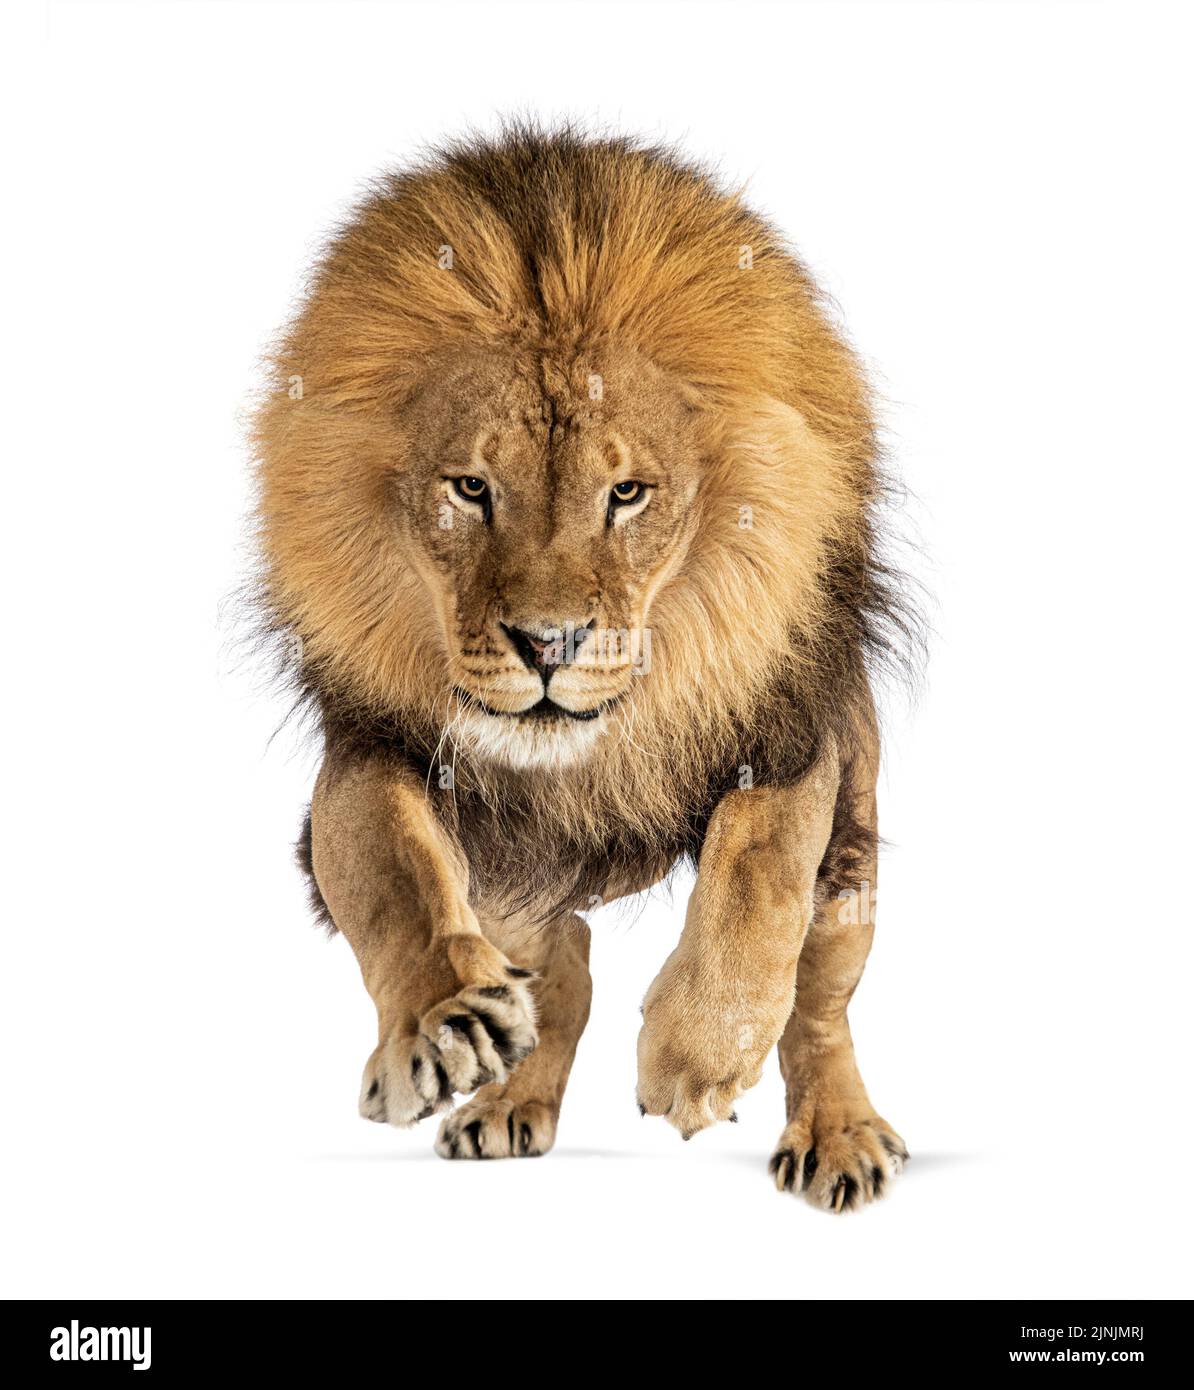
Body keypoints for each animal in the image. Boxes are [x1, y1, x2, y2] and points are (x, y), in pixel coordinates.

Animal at [253, 125, 916, 1211]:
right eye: (470, 488)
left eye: (629, 493)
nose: (548, 643)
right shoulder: (373, 744)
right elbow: (388, 867)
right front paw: (443, 1023)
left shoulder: (789, 734)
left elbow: (759, 868)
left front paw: (696, 1052)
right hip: (512, 875)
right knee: (563, 964)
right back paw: (507, 1097)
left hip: (852, 856)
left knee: (819, 1002)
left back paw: (838, 1135)